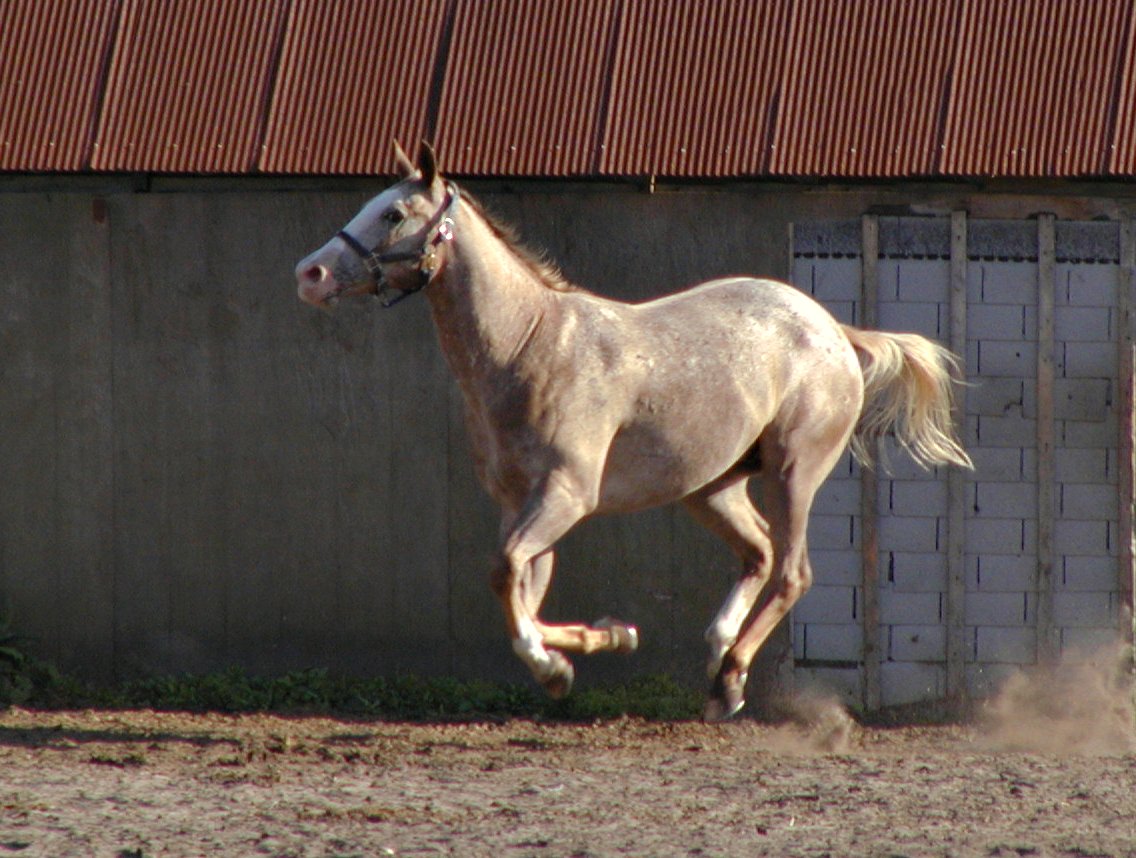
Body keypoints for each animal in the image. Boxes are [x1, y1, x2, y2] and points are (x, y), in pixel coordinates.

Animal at [294, 141, 973, 720]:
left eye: (393, 213)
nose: (311, 273)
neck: (528, 347)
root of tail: (833, 330)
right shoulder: (522, 505)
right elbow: (520, 590)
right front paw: (604, 639)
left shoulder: (566, 497)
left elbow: (507, 576)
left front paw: (558, 664)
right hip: (711, 487)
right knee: (757, 552)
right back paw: (721, 662)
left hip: (793, 471)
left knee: (790, 572)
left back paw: (730, 678)